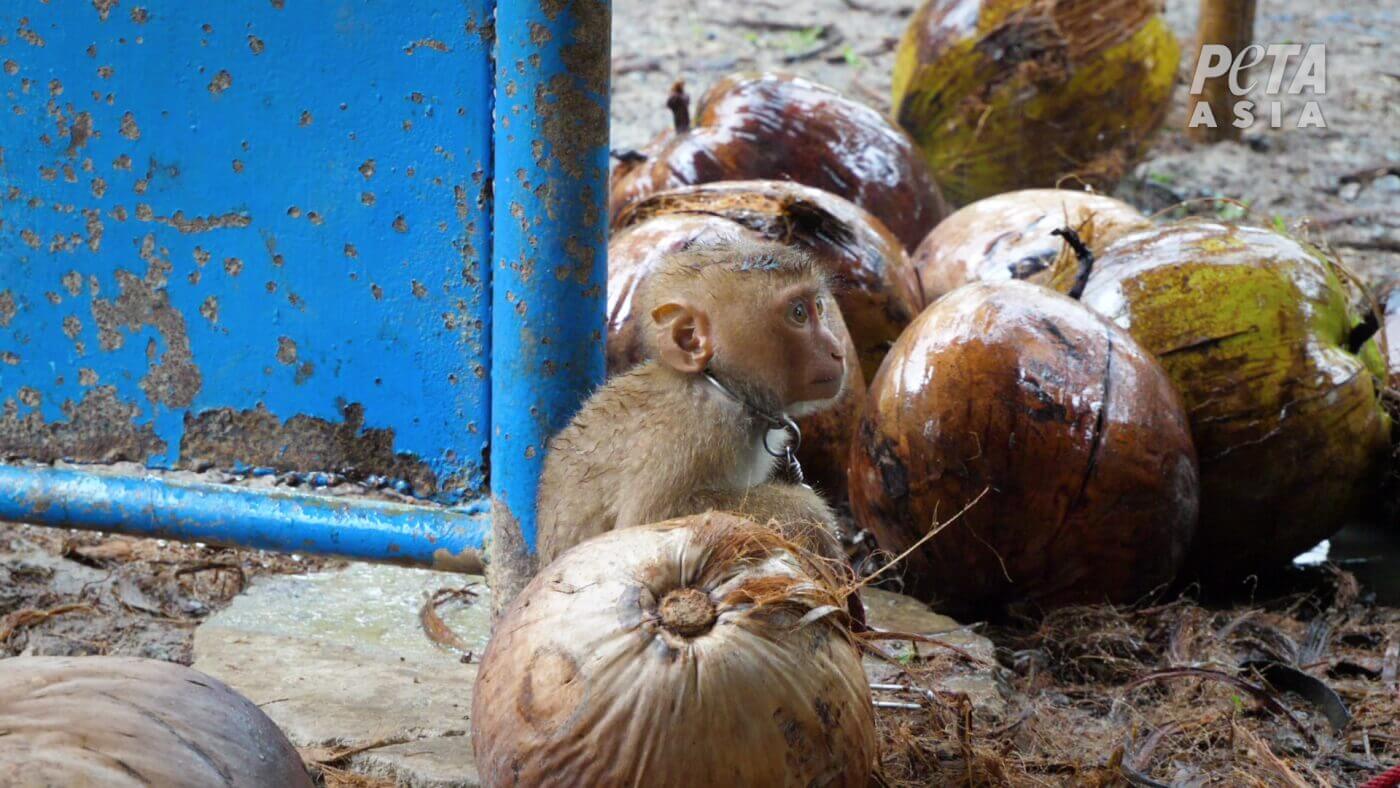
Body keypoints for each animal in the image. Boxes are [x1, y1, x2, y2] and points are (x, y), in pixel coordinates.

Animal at [535, 239, 850, 569]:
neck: (718, 385)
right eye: (798, 313)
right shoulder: (692, 434)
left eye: (818, 307)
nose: (837, 350)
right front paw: (807, 512)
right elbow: (650, 520)